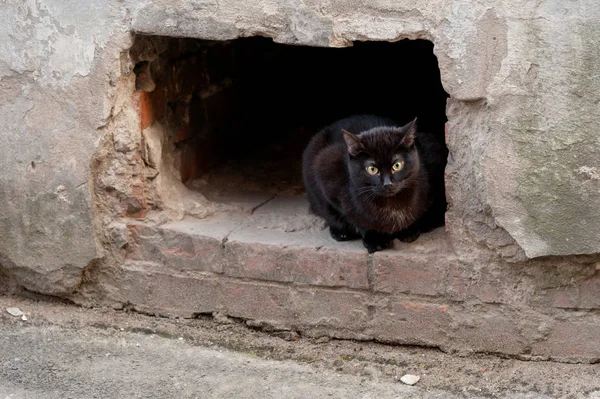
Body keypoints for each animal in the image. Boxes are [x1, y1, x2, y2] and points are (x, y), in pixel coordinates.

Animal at [300, 115, 446, 253]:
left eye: (397, 165)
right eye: (372, 169)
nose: (387, 183)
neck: (391, 205)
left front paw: (409, 230)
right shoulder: (327, 168)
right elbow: (354, 217)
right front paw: (374, 239)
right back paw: (340, 232)